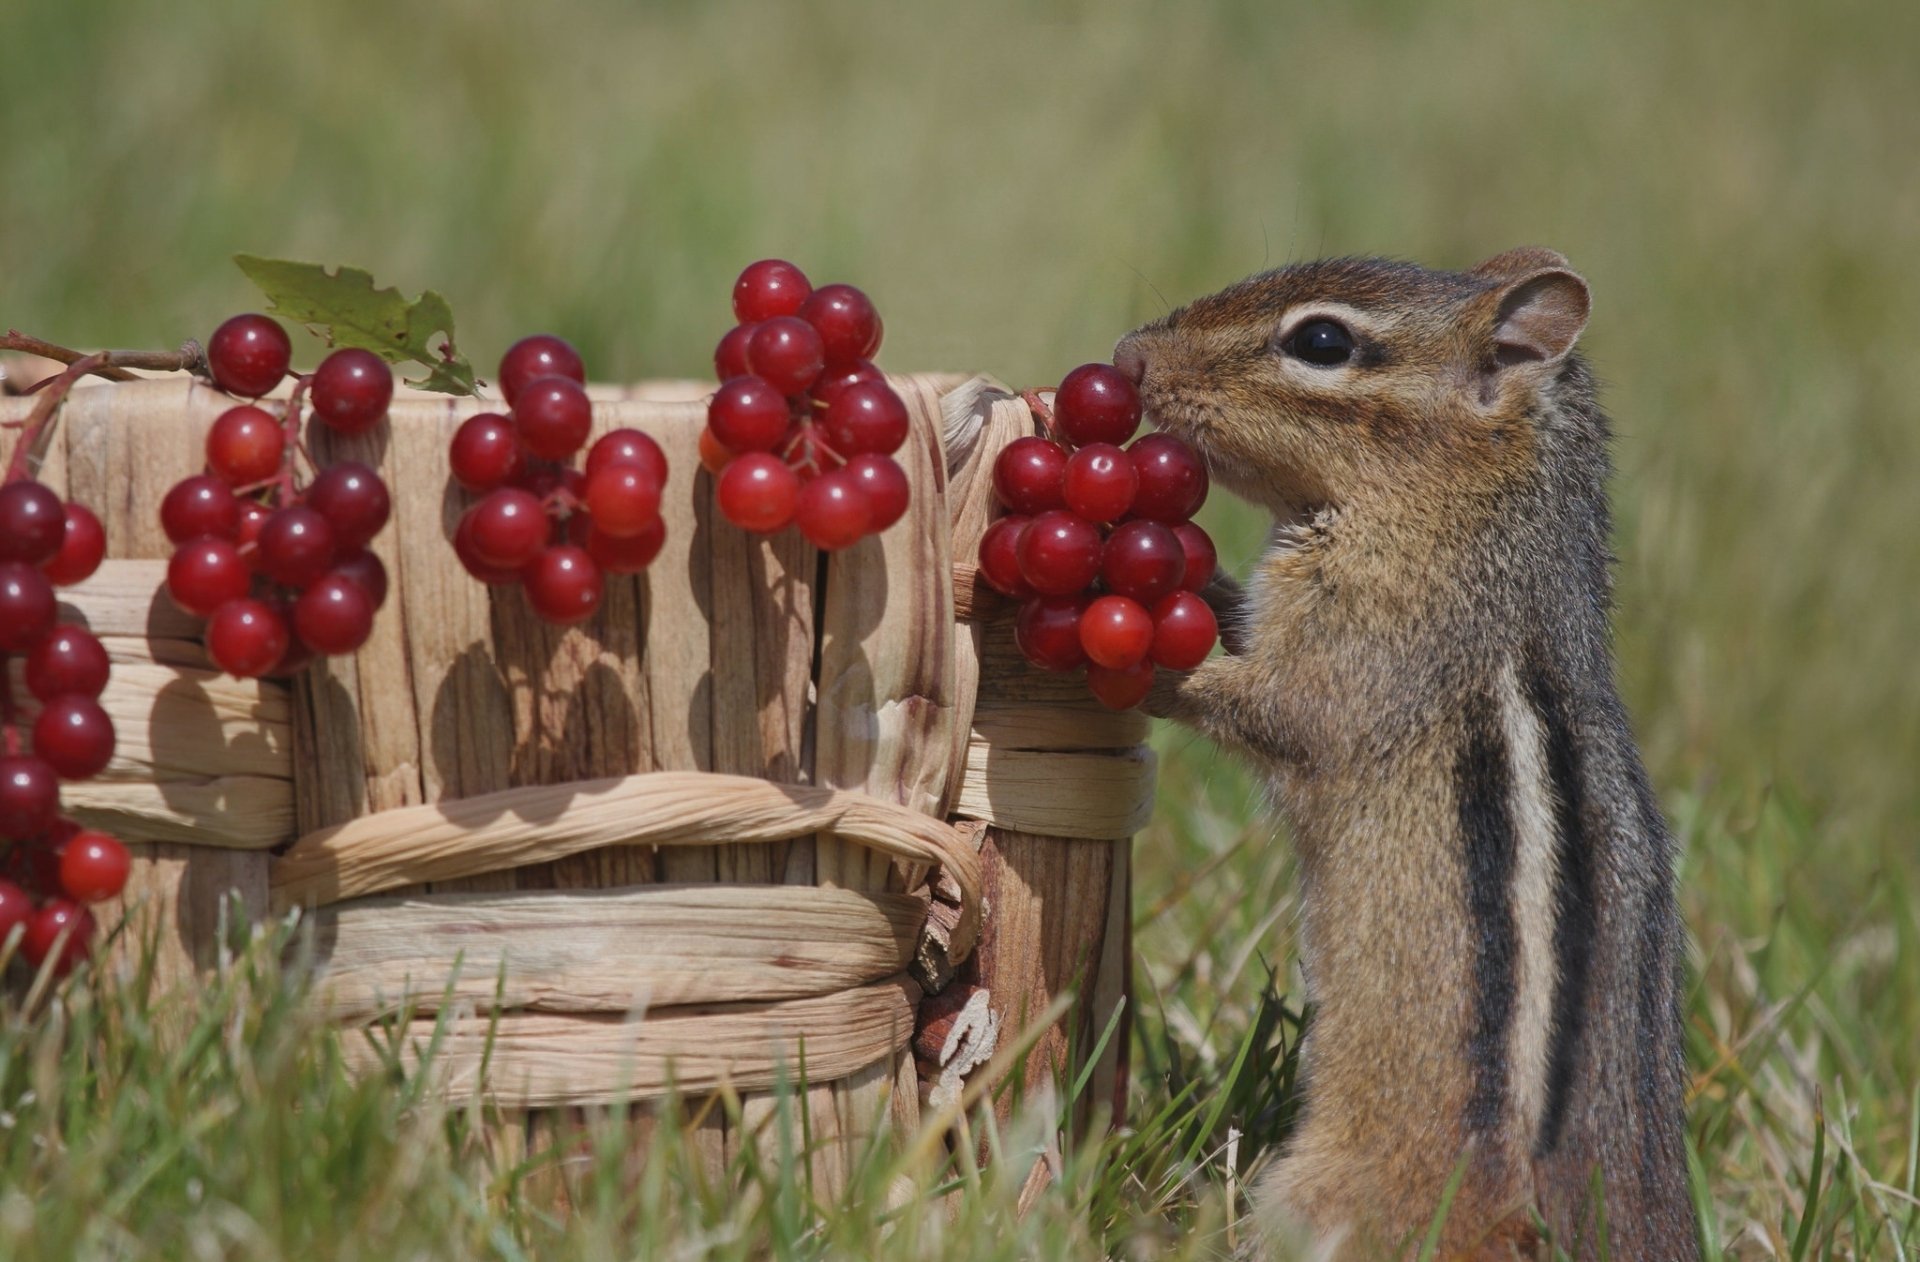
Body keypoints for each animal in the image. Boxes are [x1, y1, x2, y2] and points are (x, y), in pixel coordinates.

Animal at [1113, 250, 1697, 1260]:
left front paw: (1135, 659)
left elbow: (1271, 707)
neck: (1476, 521)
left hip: (1318, 1194)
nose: (1128, 356)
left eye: (1321, 341)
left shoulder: (1367, 648)